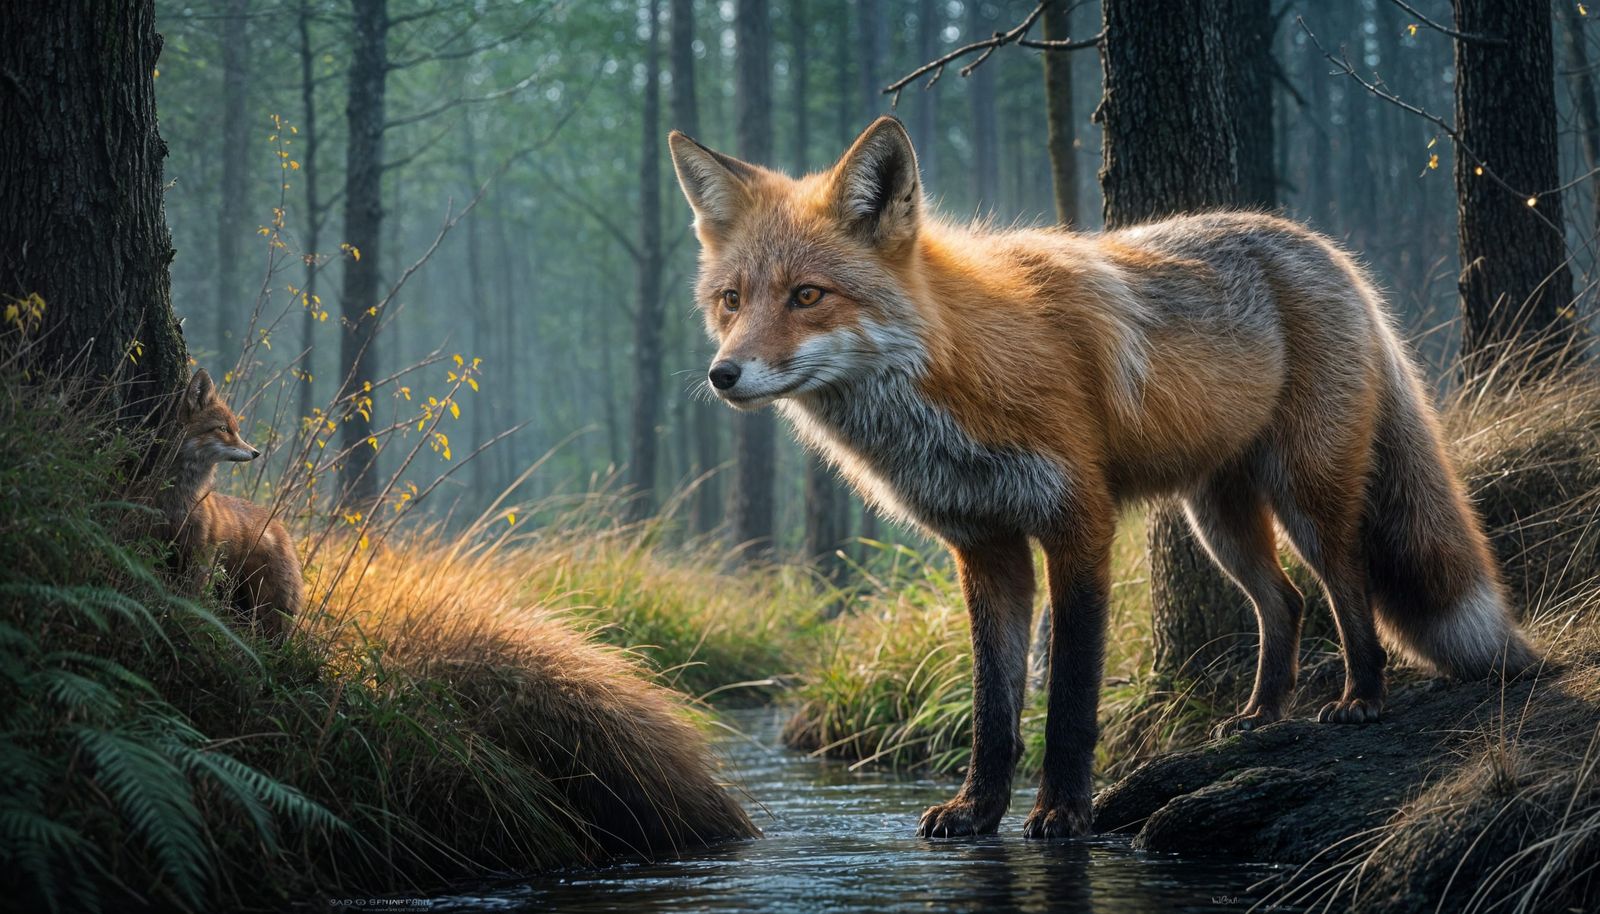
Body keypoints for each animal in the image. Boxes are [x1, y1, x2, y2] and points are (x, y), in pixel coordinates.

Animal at [157, 369, 303, 636]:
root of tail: (281, 527)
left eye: (237, 430)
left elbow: (191, 598)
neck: (181, 497)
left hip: (265, 603)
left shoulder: (202, 556)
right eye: (223, 429)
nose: (256, 453)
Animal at [668, 116, 1538, 841]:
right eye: (732, 300)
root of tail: (1323, 248)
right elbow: (993, 710)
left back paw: (1361, 698)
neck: (960, 370)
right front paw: (977, 810)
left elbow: (1070, 699)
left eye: (808, 296)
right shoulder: (985, 546)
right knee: (1284, 602)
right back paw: (1260, 713)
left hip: (1306, 495)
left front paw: (1061, 813)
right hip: (1216, 517)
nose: (722, 374)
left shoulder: (1077, 523)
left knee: (1349, 584)